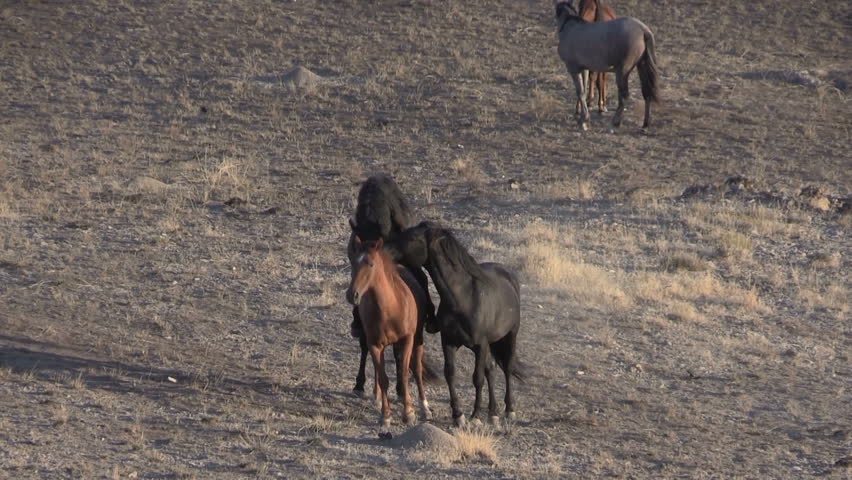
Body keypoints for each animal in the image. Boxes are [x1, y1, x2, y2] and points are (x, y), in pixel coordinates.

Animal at [349, 236, 433, 427]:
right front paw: (385, 415)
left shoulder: (408, 340)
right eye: (353, 262)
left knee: (417, 369)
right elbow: (383, 378)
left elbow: (404, 373)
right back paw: (376, 396)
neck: (390, 308)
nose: (352, 295)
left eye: (370, 264)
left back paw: (424, 406)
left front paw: (409, 413)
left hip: (417, 339)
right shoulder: (374, 344)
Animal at [384, 222, 523, 427]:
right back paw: (493, 413)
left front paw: (475, 416)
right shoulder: (449, 342)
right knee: (491, 370)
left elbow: (477, 378)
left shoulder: (480, 345)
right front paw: (458, 415)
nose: (383, 249)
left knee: (507, 367)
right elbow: (450, 374)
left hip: (510, 335)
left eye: (412, 237)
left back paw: (509, 410)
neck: (463, 297)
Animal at [556, 0, 660, 130]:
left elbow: (580, 92)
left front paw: (584, 120)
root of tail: (643, 30)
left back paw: (616, 121)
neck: (570, 26)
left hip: (623, 72)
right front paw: (582, 115)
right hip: (642, 66)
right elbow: (584, 90)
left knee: (625, 95)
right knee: (647, 93)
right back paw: (645, 124)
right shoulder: (584, 69)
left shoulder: (573, 69)